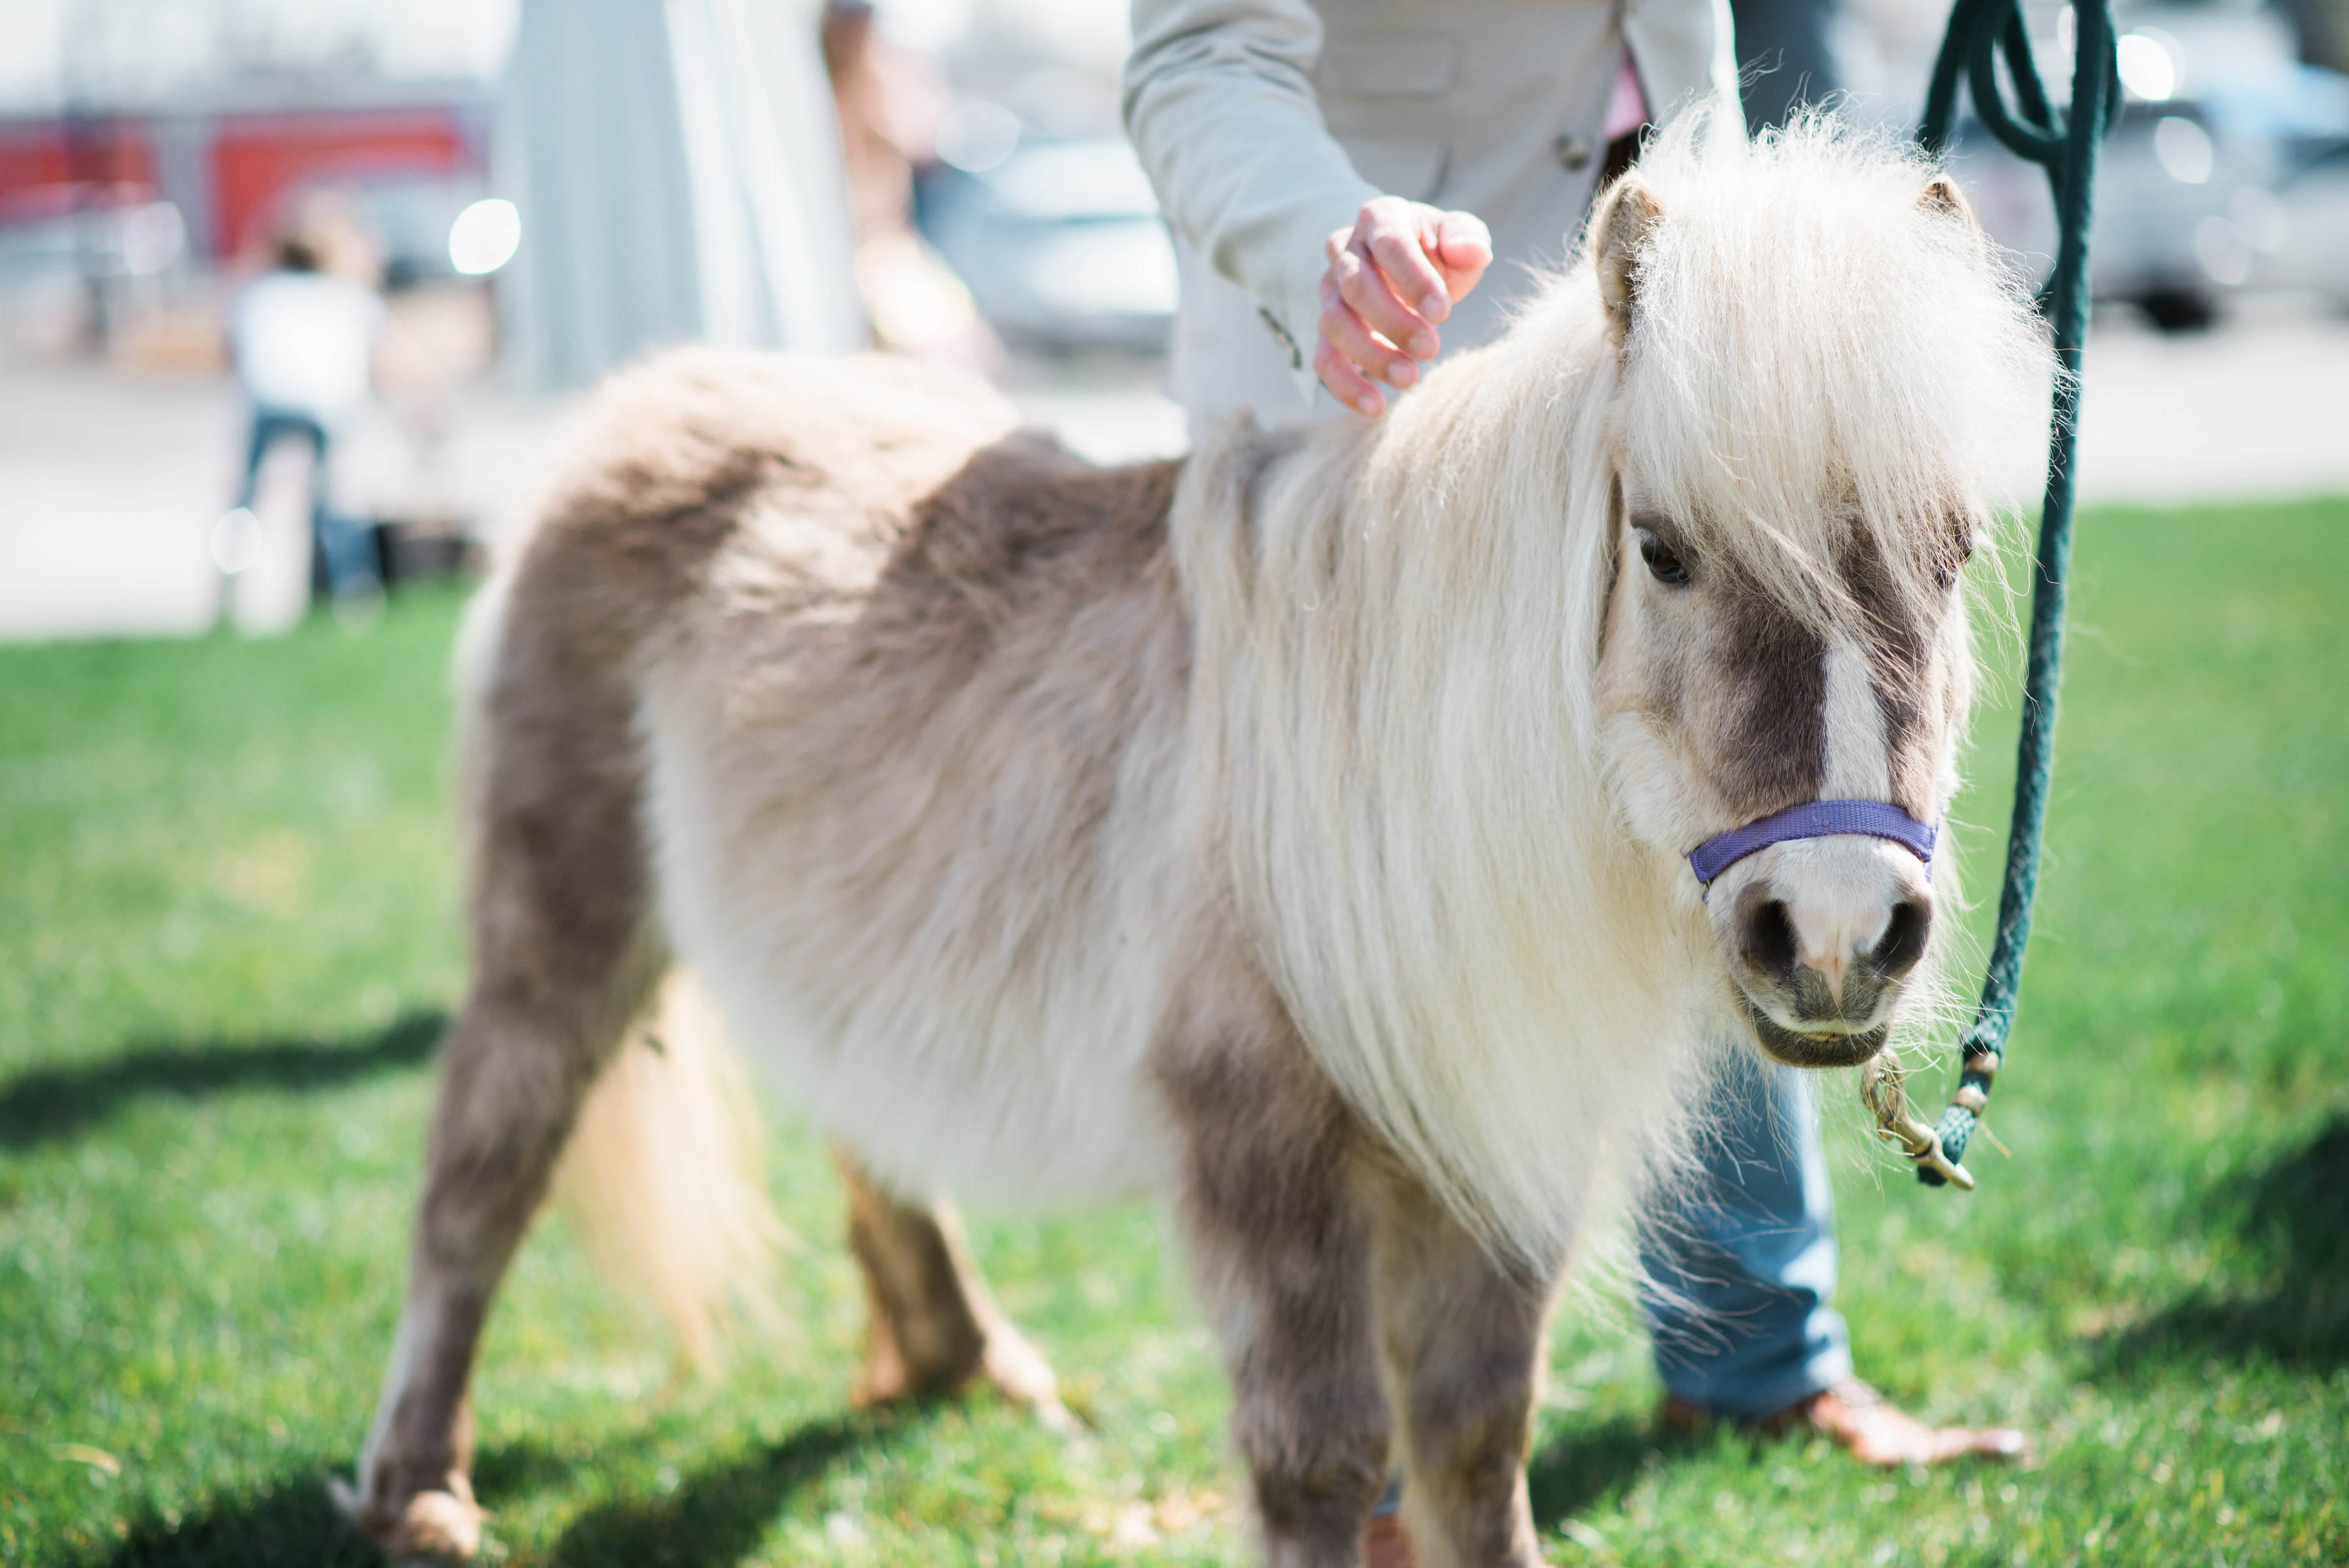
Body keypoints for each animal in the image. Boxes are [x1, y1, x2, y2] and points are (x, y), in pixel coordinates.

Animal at [338, 116, 2052, 1566]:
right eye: (1664, 549)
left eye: (1954, 546)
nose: (1836, 932)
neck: (1391, 781)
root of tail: (644, 399)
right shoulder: (1264, 1160)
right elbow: (1319, 1453)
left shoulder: (1496, 1146)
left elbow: (1471, 1445)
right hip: (564, 921)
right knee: (477, 1174)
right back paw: (420, 1492)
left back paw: (974, 1366)